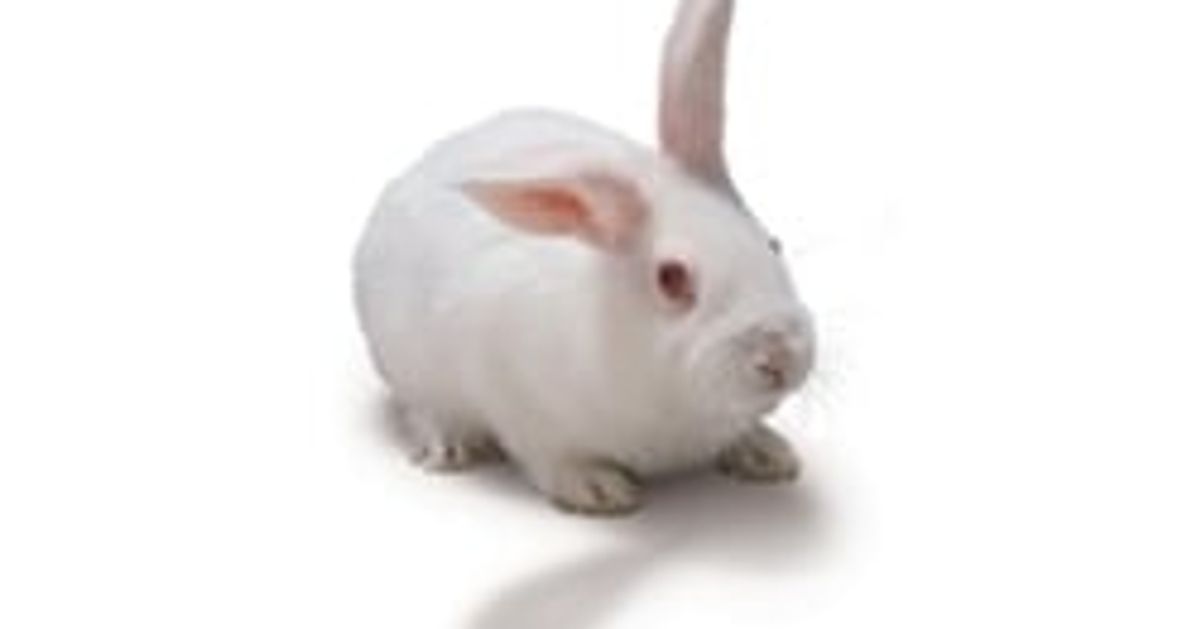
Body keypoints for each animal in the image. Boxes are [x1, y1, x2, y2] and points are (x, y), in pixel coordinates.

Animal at [354, 0, 815, 515]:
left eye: (773, 243)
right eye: (672, 278)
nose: (781, 355)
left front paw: (766, 452)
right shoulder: (518, 399)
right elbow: (550, 456)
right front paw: (598, 488)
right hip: (408, 367)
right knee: (423, 411)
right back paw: (451, 448)